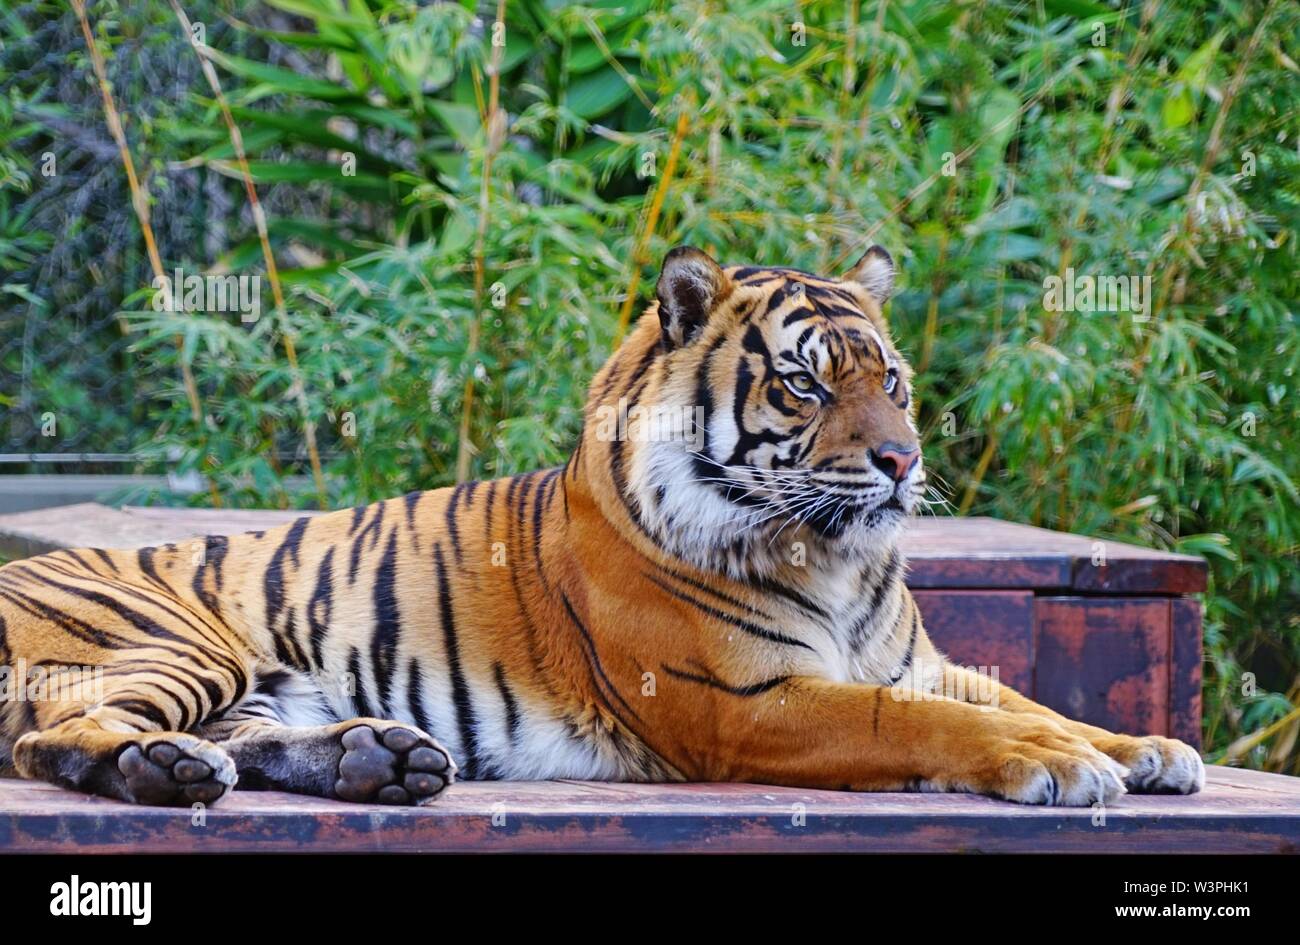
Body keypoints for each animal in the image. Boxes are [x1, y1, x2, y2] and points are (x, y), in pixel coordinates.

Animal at [0, 244, 1204, 808]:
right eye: (806, 385)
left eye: (892, 381)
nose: (903, 462)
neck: (837, 557)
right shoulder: (745, 704)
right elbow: (918, 725)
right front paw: (1051, 763)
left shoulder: (917, 661)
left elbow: (1023, 699)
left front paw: (1139, 748)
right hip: (170, 643)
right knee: (51, 739)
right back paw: (166, 772)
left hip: (256, 683)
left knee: (244, 740)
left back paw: (374, 759)